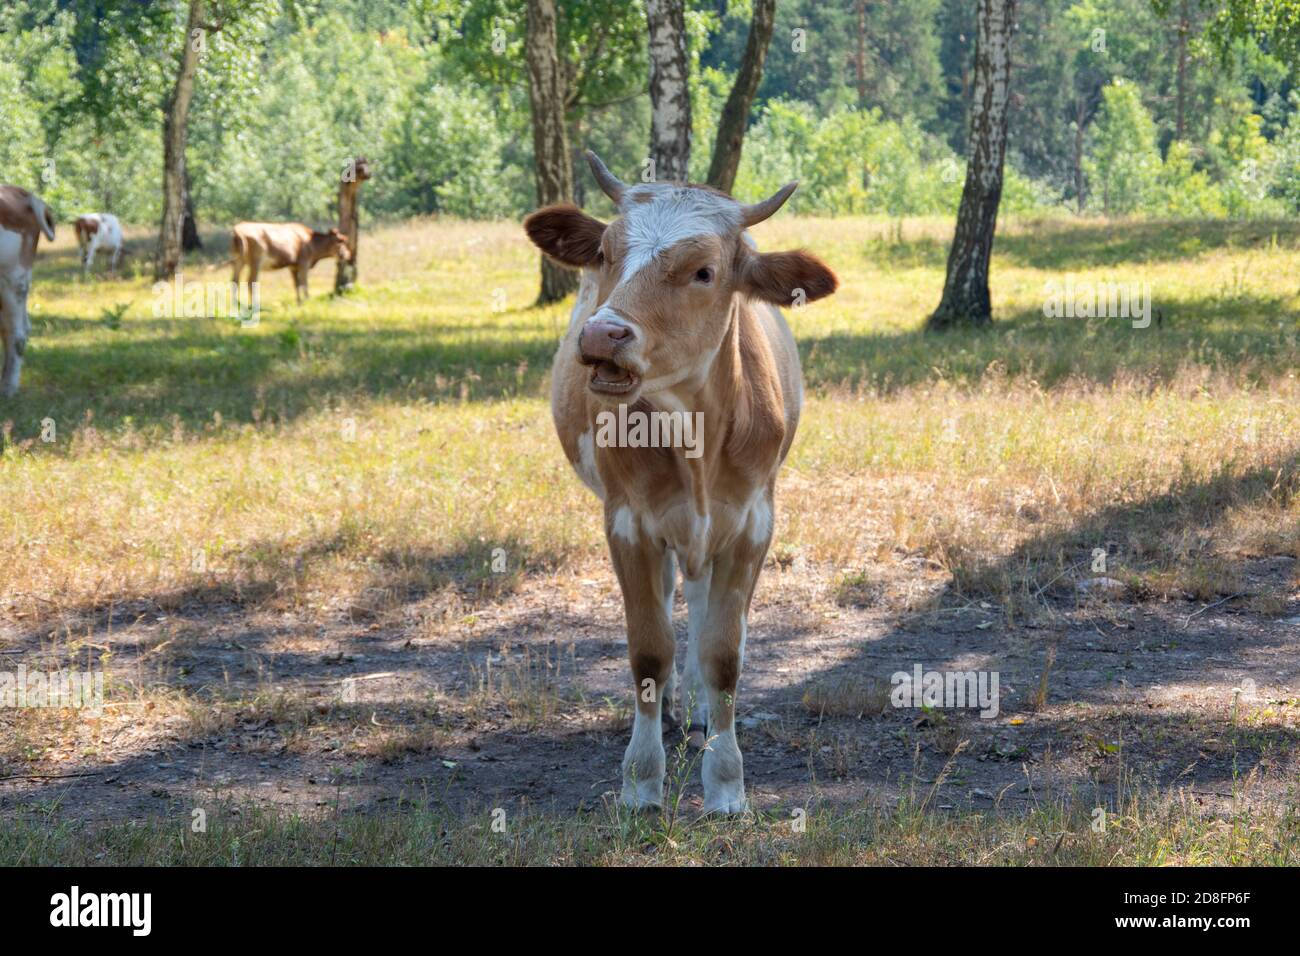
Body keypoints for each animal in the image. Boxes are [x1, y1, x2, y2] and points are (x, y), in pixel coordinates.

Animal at [524, 152, 837, 814]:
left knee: (698, 601)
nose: (601, 335)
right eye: (606, 253)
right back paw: (672, 704)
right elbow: (649, 647)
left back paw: (694, 710)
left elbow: (723, 652)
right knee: (673, 602)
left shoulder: (752, 522)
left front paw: (725, 782)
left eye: (703, 271)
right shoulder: (627, 522)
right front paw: (642, 780)